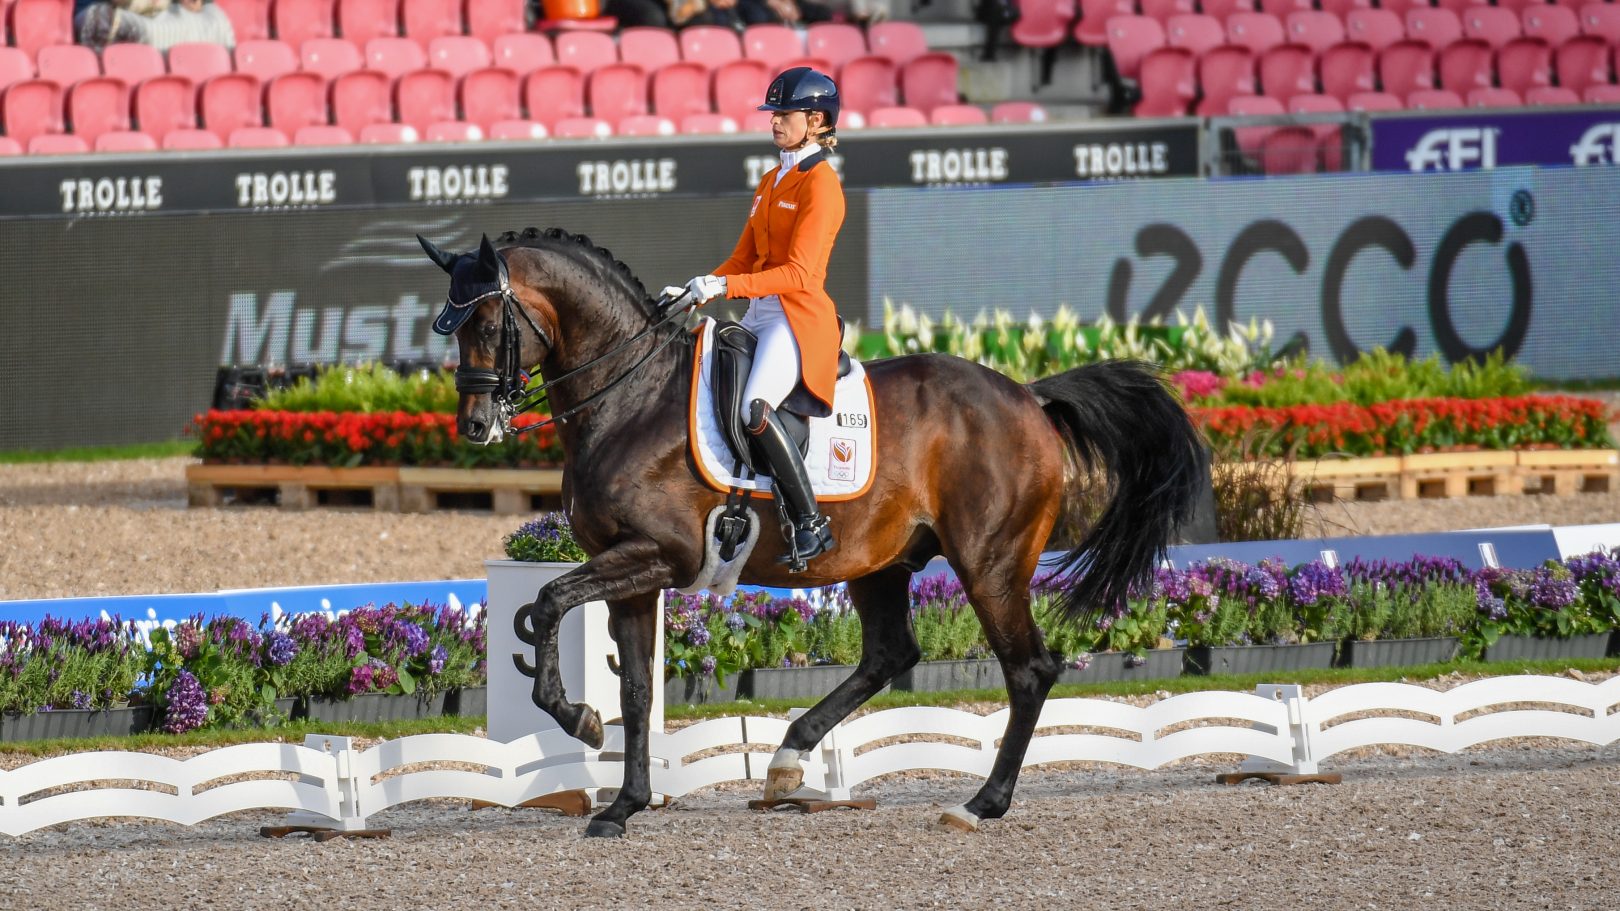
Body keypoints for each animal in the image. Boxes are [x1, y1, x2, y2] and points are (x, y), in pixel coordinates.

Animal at [418, 227, 1209, 838]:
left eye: (486, 324)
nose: (475, 427)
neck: (630, 397)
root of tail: (1029, 397)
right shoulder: (631, 569)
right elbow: (636, 688)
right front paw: (622, 804)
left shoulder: (658, 555)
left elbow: (547, 603)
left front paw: (577, 718)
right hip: (881, 562)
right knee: (891, 653)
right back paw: (786, 761)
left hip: (990, 563)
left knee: (1029, 669)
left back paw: (981, 803)